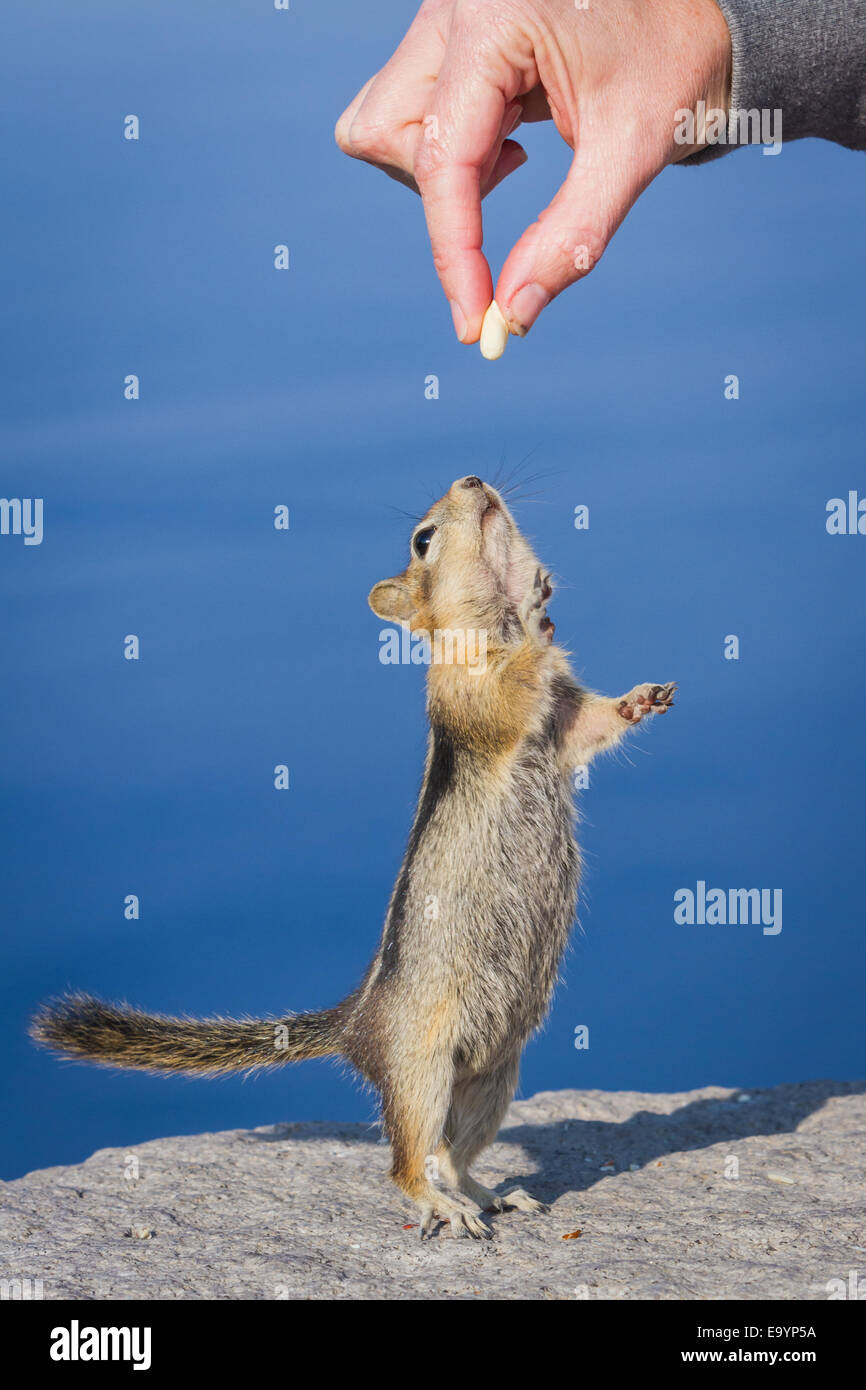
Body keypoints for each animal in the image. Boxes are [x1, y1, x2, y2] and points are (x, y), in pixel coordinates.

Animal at [31, 474, 675, 1239]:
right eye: (423, 539)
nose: (470, 480)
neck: (490, 624)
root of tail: (356, 1026)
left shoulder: (567, 720)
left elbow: (594, 723)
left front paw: (641, 694)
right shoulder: (474, 697)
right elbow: (510, 691)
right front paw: (539, 618)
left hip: (493, 1078)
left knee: (453, 1155)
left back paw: (489, 1196)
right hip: (422, 1068)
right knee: (407, 1163)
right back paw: (447, 1210)